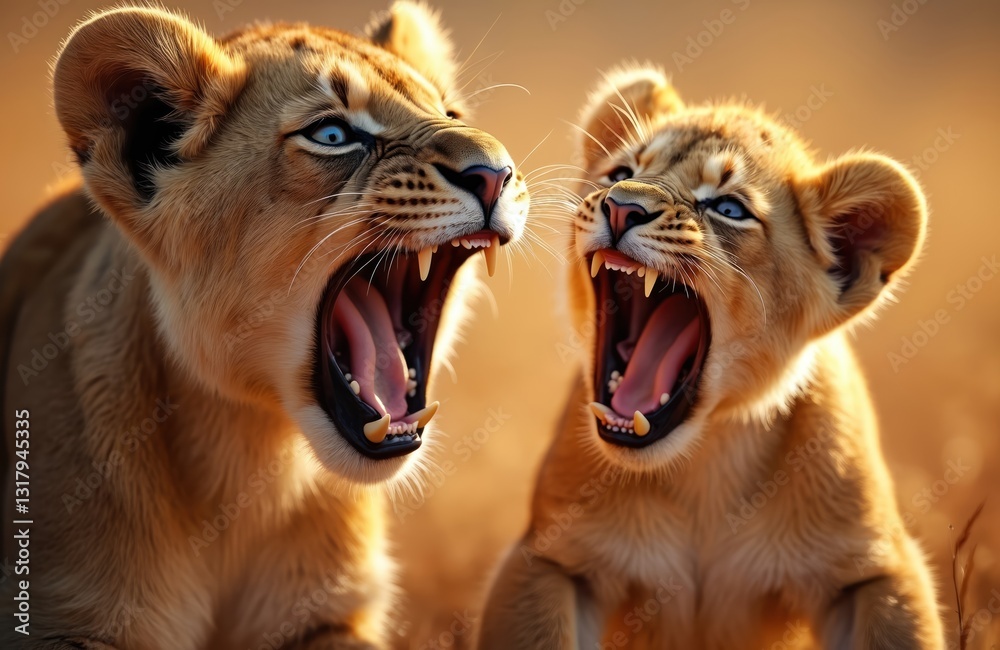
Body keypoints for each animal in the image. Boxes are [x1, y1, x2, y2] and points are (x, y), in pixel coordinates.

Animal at [0, 3, 528, 648]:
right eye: (332, 135)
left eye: (450, 113)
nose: (496, 173)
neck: (253, 448)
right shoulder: (69, 616)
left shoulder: (328, 616)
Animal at [477, 66, 943, 649]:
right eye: (621, 172)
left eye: (728, 209)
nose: (621, 204)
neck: (705, 460)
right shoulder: (547, 559)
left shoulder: (876, 571)